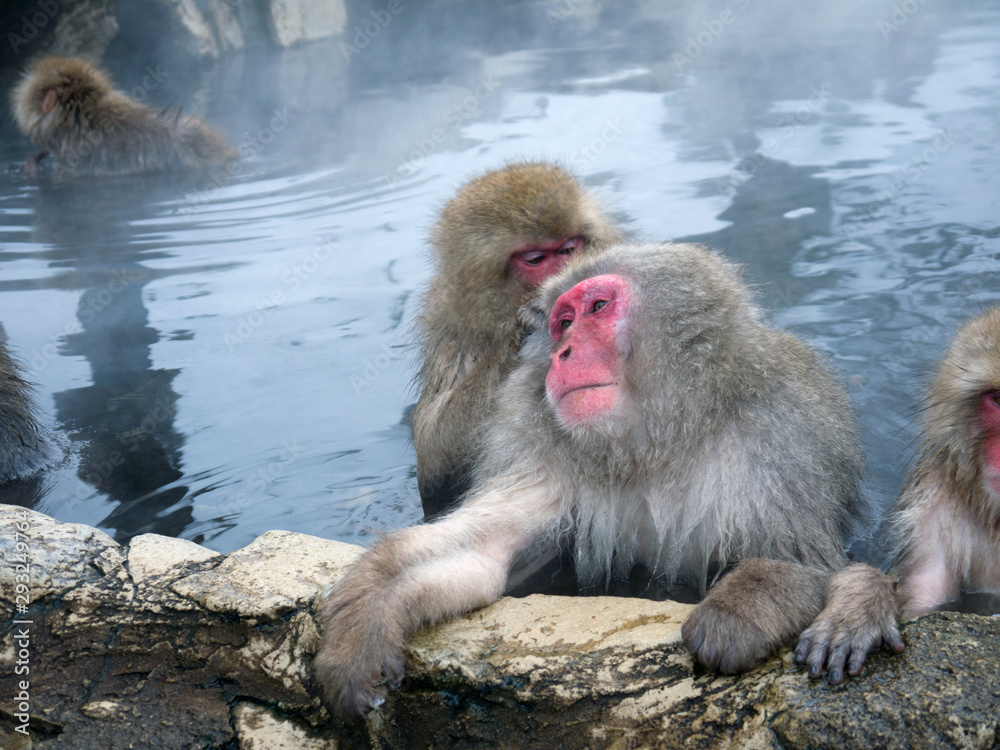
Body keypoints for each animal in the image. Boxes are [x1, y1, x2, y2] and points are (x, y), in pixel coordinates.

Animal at [315, 242, 864, 718]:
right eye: (562, 323)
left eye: (597, 306)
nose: (563, 353)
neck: (657, 439)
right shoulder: (540, 446)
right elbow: (480, 551)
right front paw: (368, 614)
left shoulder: (784, 435)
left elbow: (803, 563)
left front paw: (735, 615)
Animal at [412, 162, 625, 518]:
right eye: (536, 259)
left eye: (568, 249)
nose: (570, 281)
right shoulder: (452, 332)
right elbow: (432, 461)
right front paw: (526, 327)